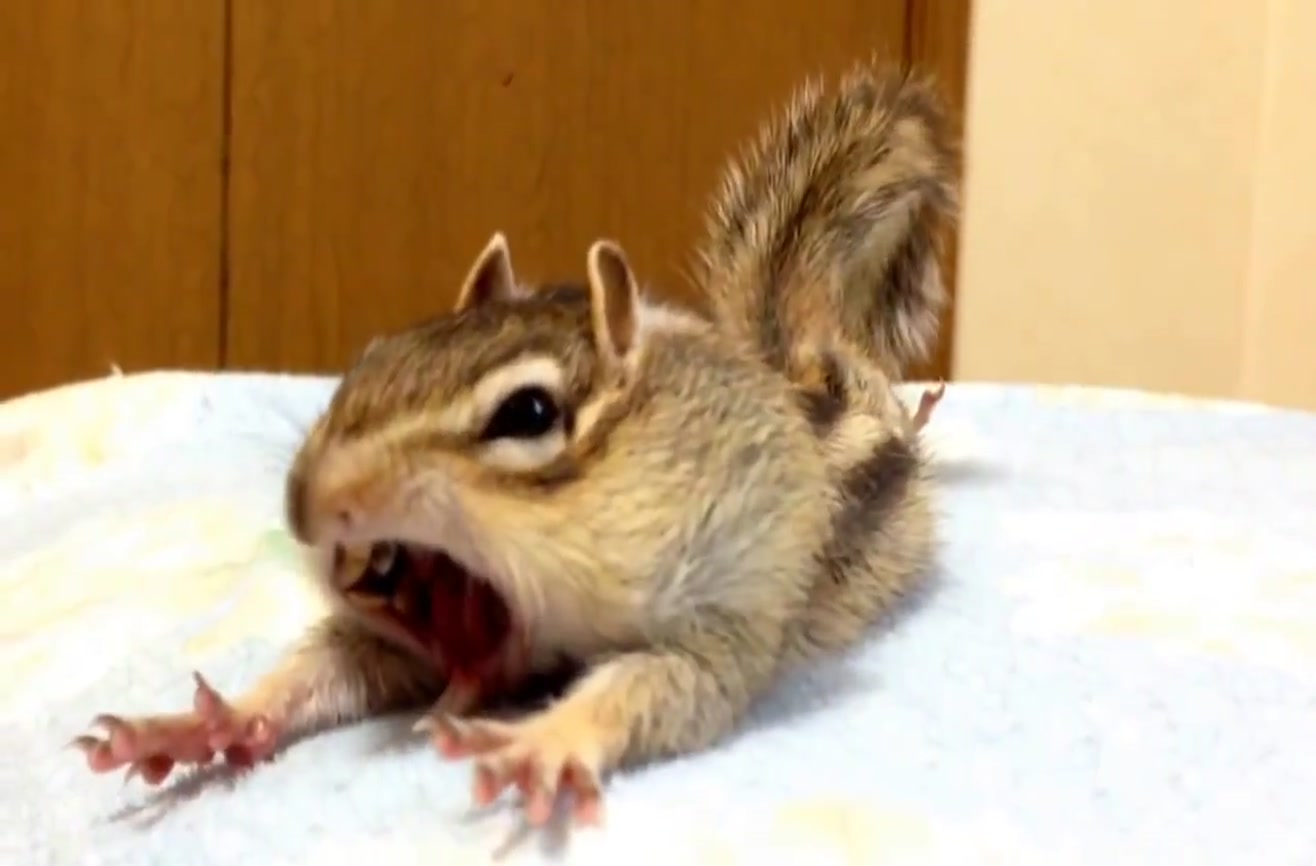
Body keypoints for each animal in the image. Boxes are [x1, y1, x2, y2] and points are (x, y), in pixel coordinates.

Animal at [73, 62, 959, 829]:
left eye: (529, 413)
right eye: (367, 360)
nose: (304, 504)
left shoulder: (725, 620)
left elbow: (650, 691)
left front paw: (545, 743)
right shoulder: (400, 645)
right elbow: (321, 666)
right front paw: (202, 723)